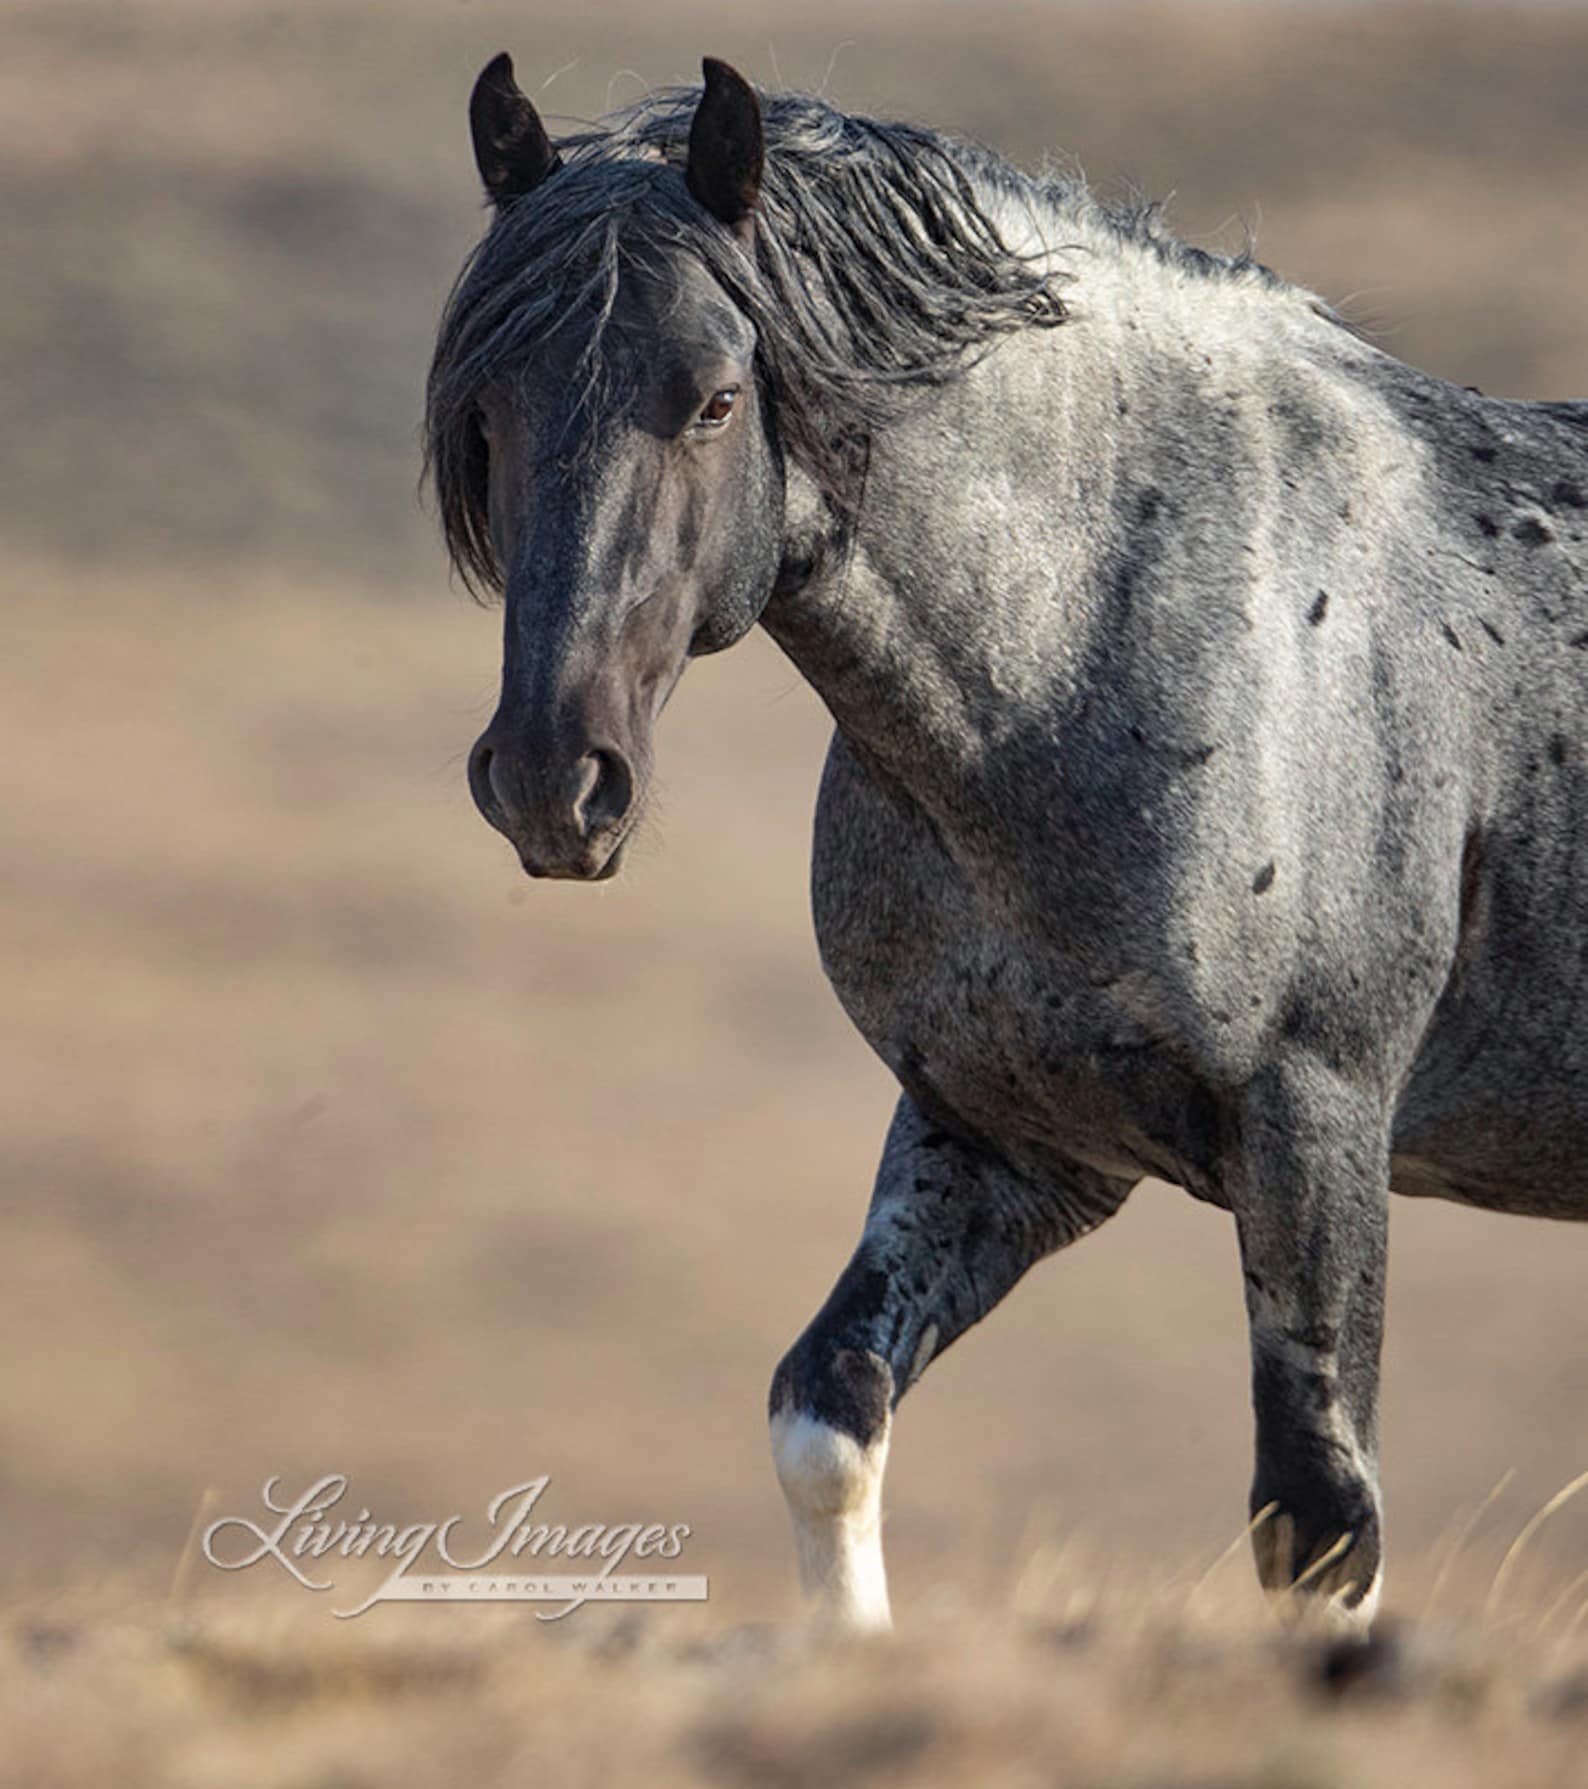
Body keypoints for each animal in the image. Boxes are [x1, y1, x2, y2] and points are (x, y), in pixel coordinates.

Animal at [426, 53, 1588, 1632]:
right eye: (486, 407)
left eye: (717, 398)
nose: (554, 781)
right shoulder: (1006, 1138)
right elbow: (826, 1417)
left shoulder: (1318, 1123)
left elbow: (1319, 1524)